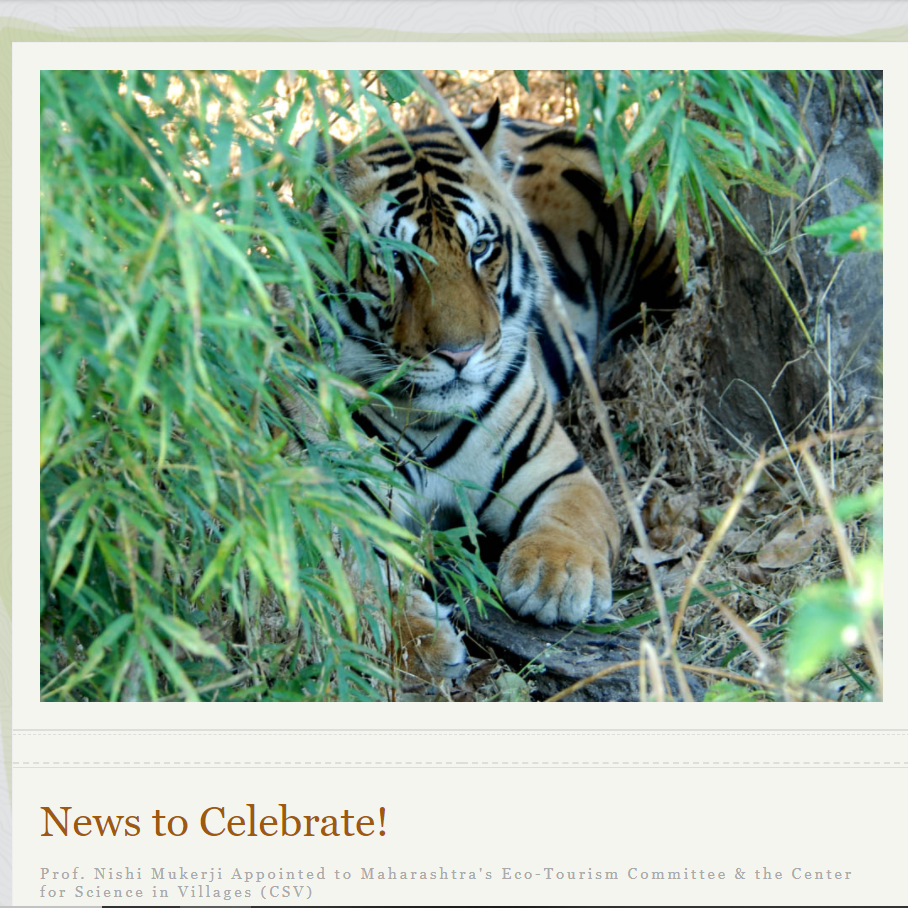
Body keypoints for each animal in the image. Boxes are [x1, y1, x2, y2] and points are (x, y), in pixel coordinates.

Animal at [276, 99, 685, 682]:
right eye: (396, 259)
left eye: (481, 249)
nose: (460, 354)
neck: (421, 417)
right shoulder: (335, 495)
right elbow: (354, 571)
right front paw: (418, 639)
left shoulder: (556, 470)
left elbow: (572, 518)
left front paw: (554, 577)